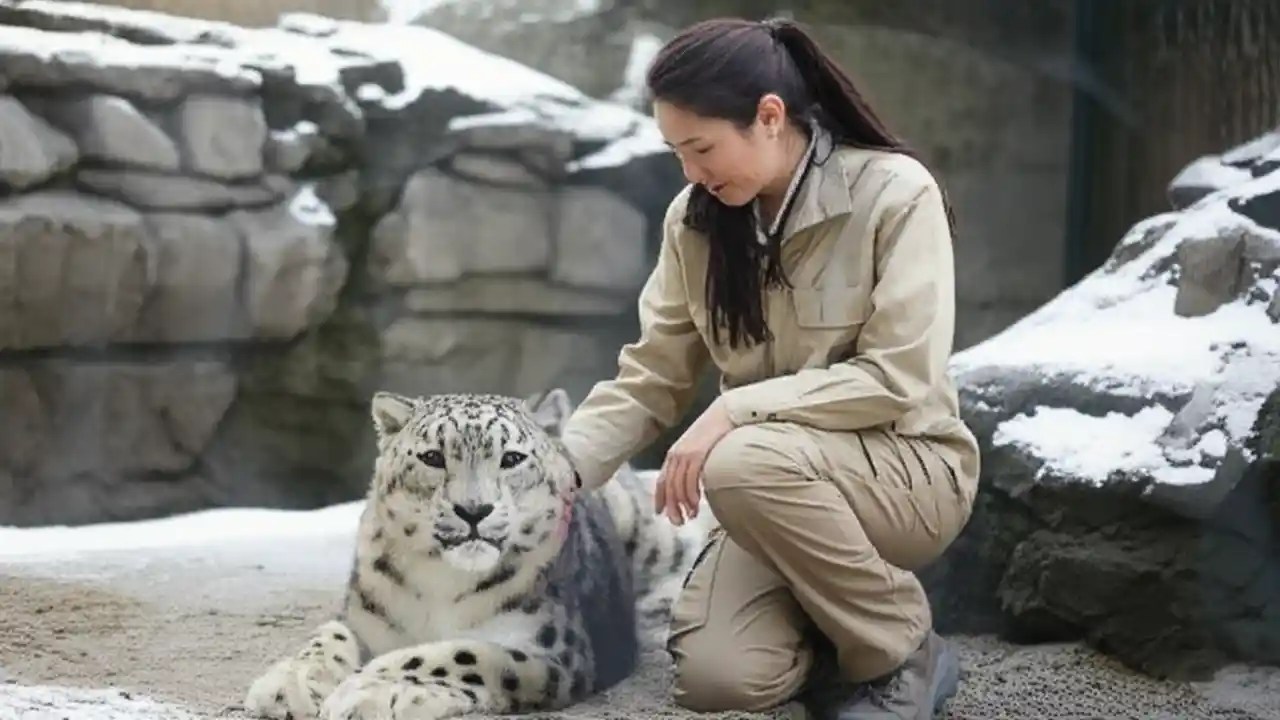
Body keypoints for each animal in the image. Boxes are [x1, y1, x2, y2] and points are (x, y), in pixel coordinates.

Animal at [243, 388, 716, 720]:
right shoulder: (362, 617)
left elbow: (463, 653)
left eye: (512, 458)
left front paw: (368, 689)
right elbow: (326, 637)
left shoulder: (553, 651)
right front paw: (289, 684)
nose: (473, 510)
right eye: (432, 456)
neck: (441, 582)